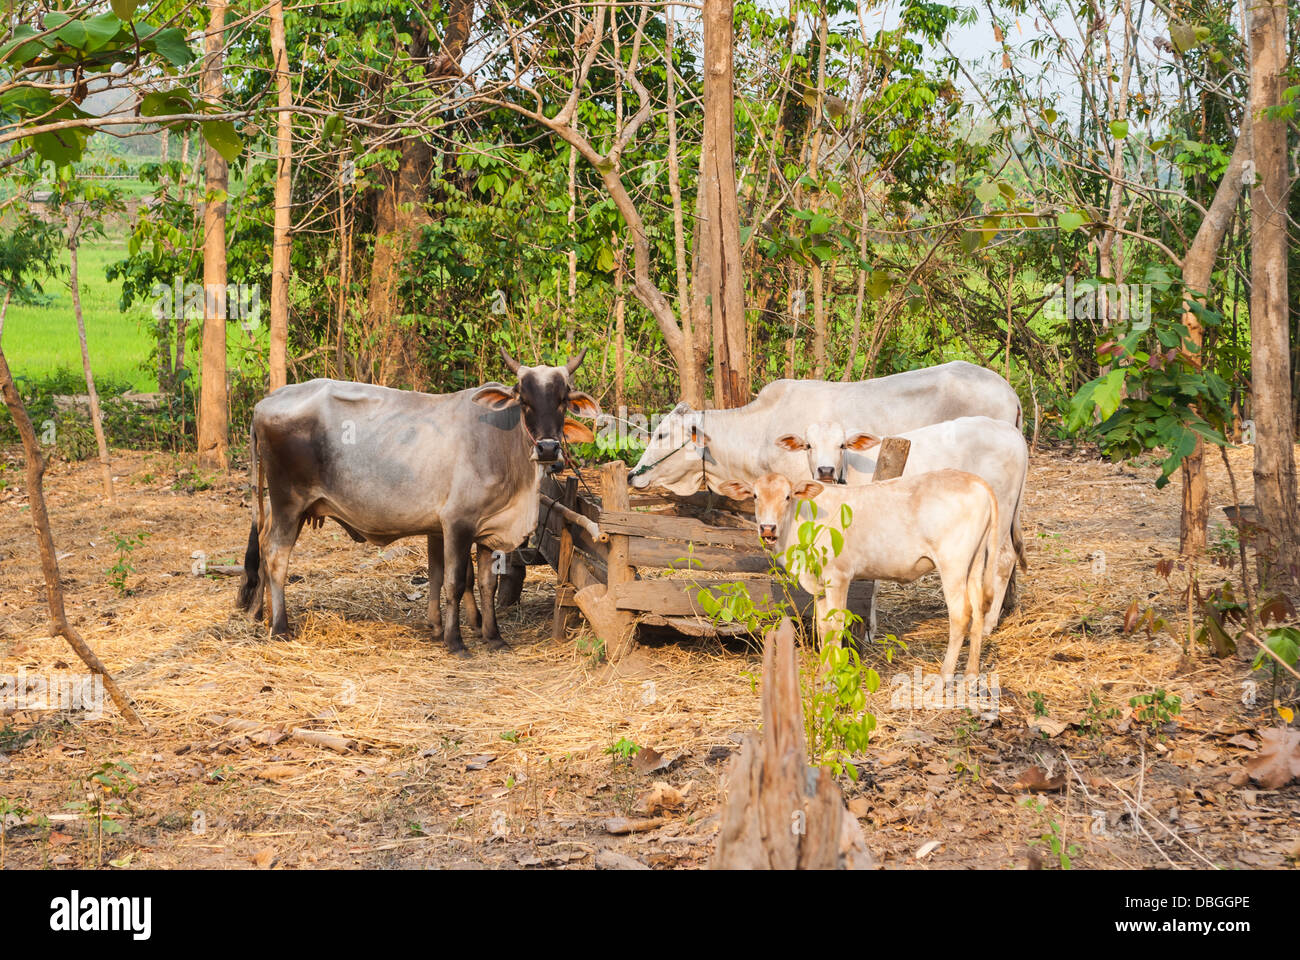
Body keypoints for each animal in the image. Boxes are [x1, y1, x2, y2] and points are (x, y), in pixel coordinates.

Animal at [235, 348, 600, 656]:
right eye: (523, 399)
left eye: (563, 399)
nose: (549, 449)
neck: (501, 441)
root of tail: (267, 402)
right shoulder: (456, 524)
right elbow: (454, 581)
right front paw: (455, 641)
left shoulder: (485, 528)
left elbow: (484, 582)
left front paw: (493, 636)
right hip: (289, 503)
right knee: (276, 556)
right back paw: (280, 627)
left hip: (283, 507)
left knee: (265, 547)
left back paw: (262, 615)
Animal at [719, 471, 1000, 682]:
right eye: (755, 496)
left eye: (787, 496)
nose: (767, 528)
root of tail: (974, 480)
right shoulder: (820, 583)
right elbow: (822, 627)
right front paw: (823, 672)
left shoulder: (838, 576)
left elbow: (835, 625)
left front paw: (832, 675)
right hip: (975, 563)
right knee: (978, 611)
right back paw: (971, 673)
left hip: (952, 564)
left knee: (961, 615)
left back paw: (944, 676)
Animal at [775, 416, 1029, 631]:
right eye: (809, 445)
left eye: (842, 445)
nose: (825, 470)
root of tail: (1011, 431)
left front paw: (870, 627)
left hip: (1002, 512)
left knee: (1004, 559)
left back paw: (989, 623)